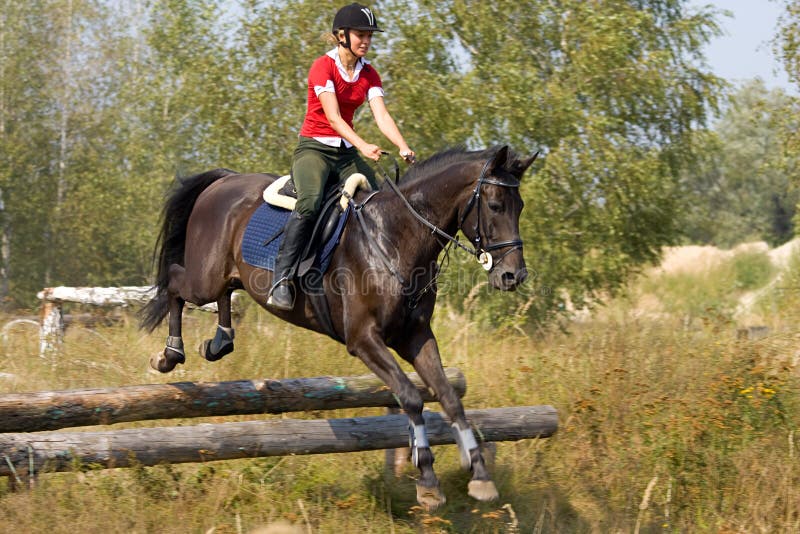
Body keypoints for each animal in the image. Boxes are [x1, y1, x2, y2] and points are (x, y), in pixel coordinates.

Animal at [140, 145, 537, 510]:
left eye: (520, 207)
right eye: (496, 206)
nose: (513, 276)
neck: (397, 238)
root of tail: (224, 180)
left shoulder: (416, 337)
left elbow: (450, 398)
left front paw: (480, 474)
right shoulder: (363, 340)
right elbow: (411, 397)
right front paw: (427, 479)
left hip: (228, 275)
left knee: (224, 294)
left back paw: (220, 341)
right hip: (204, 277)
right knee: (175, 283)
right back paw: (169, 355)